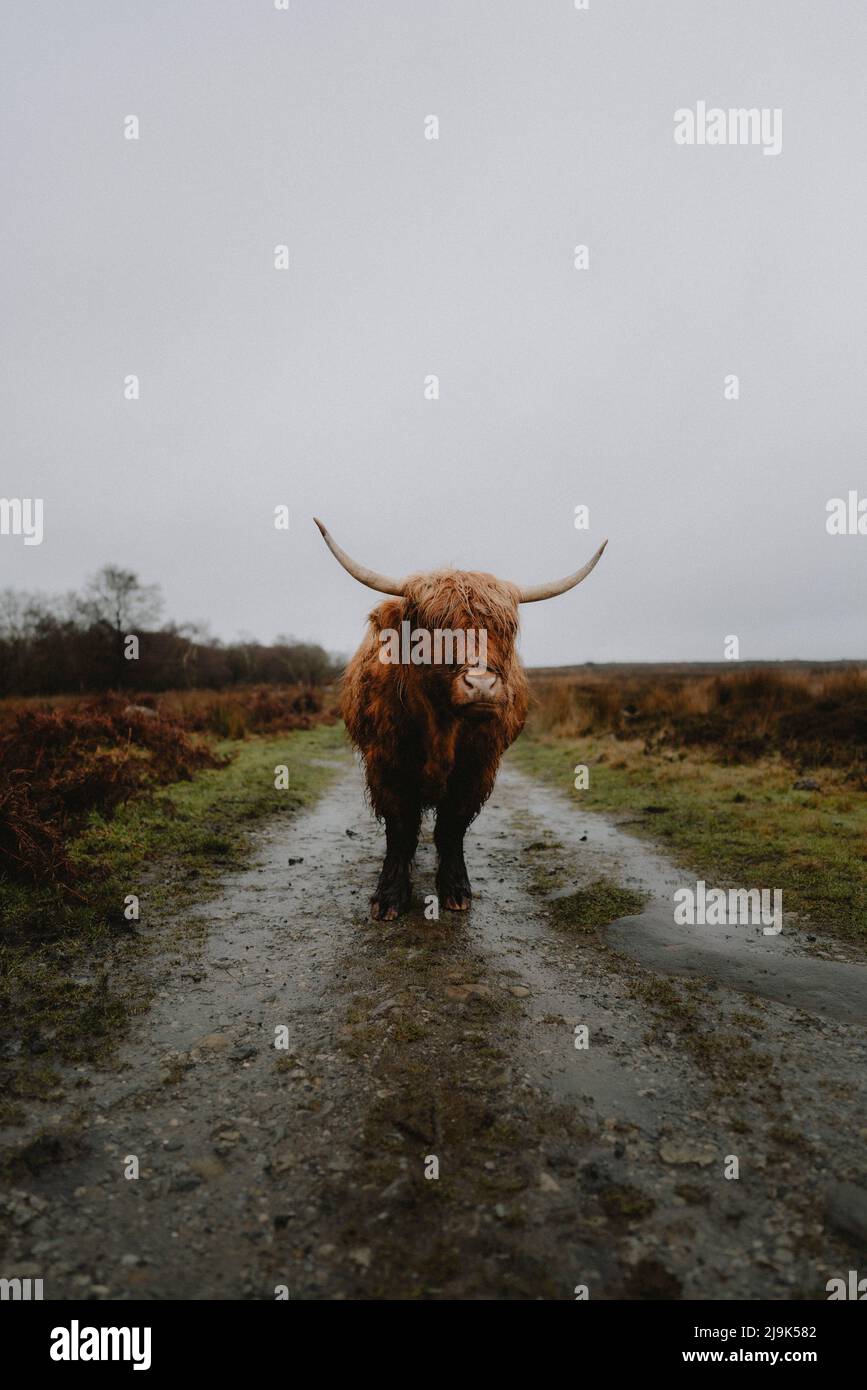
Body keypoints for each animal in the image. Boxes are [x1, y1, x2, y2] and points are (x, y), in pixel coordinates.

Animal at [315, 518, 607, 919]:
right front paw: (389, 897)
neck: (441, 727)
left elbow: (451, 828)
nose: (481, 684)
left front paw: (455, 890)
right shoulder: (385, 766)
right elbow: (400, 829)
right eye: (432, 627)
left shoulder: (477, 769)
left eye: (505, 628)